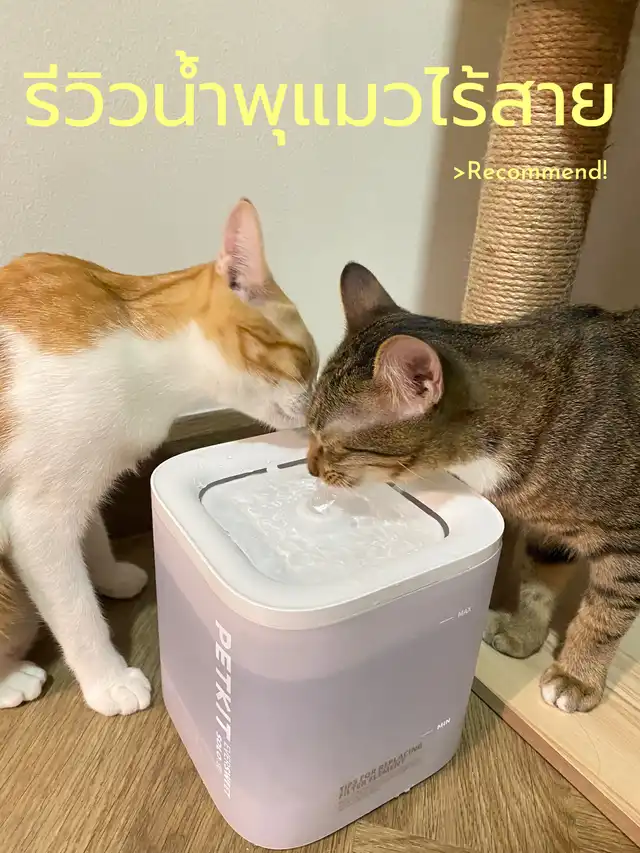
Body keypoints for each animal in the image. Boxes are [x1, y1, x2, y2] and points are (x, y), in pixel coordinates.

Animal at [0, 198, 318, 716]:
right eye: (304, 361)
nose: (314, 410)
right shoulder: (36, 518)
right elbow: (75, 610)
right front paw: (108, 680)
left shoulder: (82, 480)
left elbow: (95, 535)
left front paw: (109, 576)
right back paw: (12, 679)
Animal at [306, 260, 640, 714]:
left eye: (332, 443)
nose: (309, 467)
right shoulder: (549, 531)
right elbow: (539, 583)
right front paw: (524, 634)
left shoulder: (628, 544)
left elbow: (604, 614)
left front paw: (577, 675)